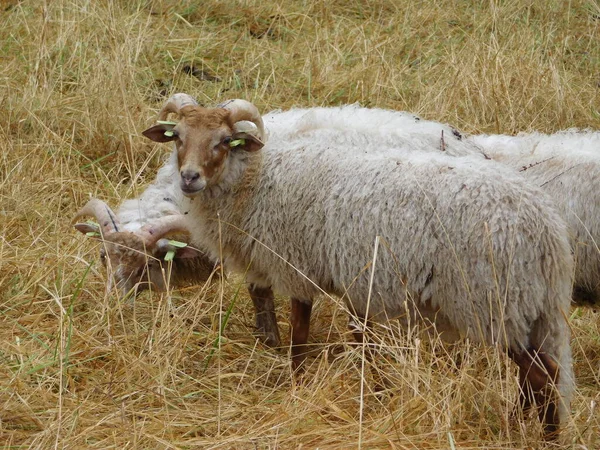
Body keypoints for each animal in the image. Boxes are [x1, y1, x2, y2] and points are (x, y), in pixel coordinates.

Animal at [142, 92, 576, 440]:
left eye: (223, 142)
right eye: (178, 137)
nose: (189, 178)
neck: (256, 177)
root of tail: (548, 230)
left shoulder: (297, 267)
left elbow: (300, 336)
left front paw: (298, 385)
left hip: (493, 301)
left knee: (545, 379)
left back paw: (547, 437)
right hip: (523, 307)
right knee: (536, 376)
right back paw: (517, 424)